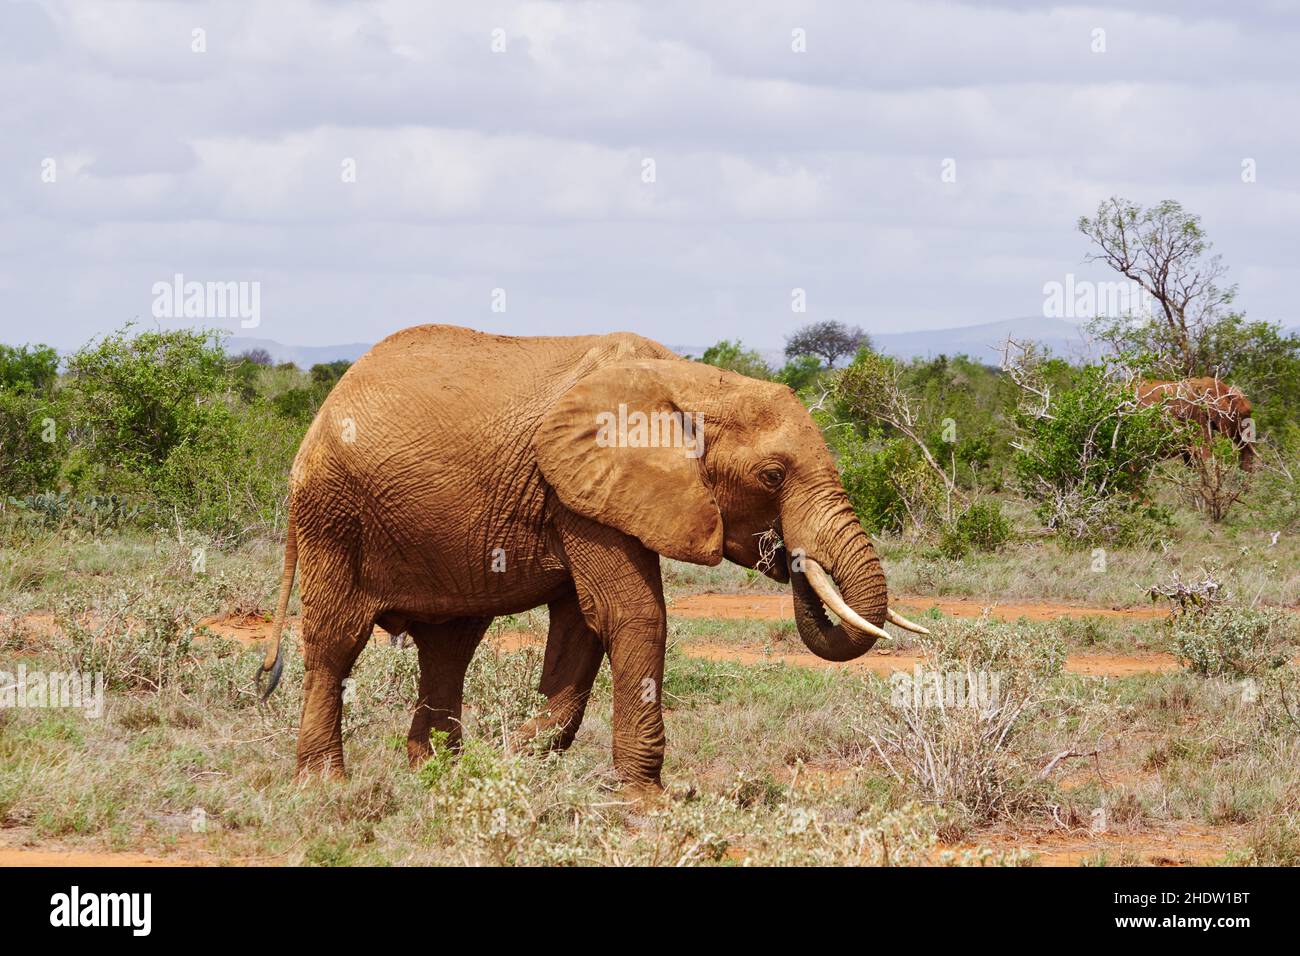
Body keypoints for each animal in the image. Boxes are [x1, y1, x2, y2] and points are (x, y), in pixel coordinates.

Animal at [256, 324, 928, 792]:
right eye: (771, 476)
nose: (789, 556)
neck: (687, 380)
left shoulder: (591, 493)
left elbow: (582, 627)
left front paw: (511, 762)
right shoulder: (579, 490)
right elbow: (630, 614)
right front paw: (646, 799)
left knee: (448, 645)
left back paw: (437, 773)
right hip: (332, 514)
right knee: (338, 639)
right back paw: (325, 784)